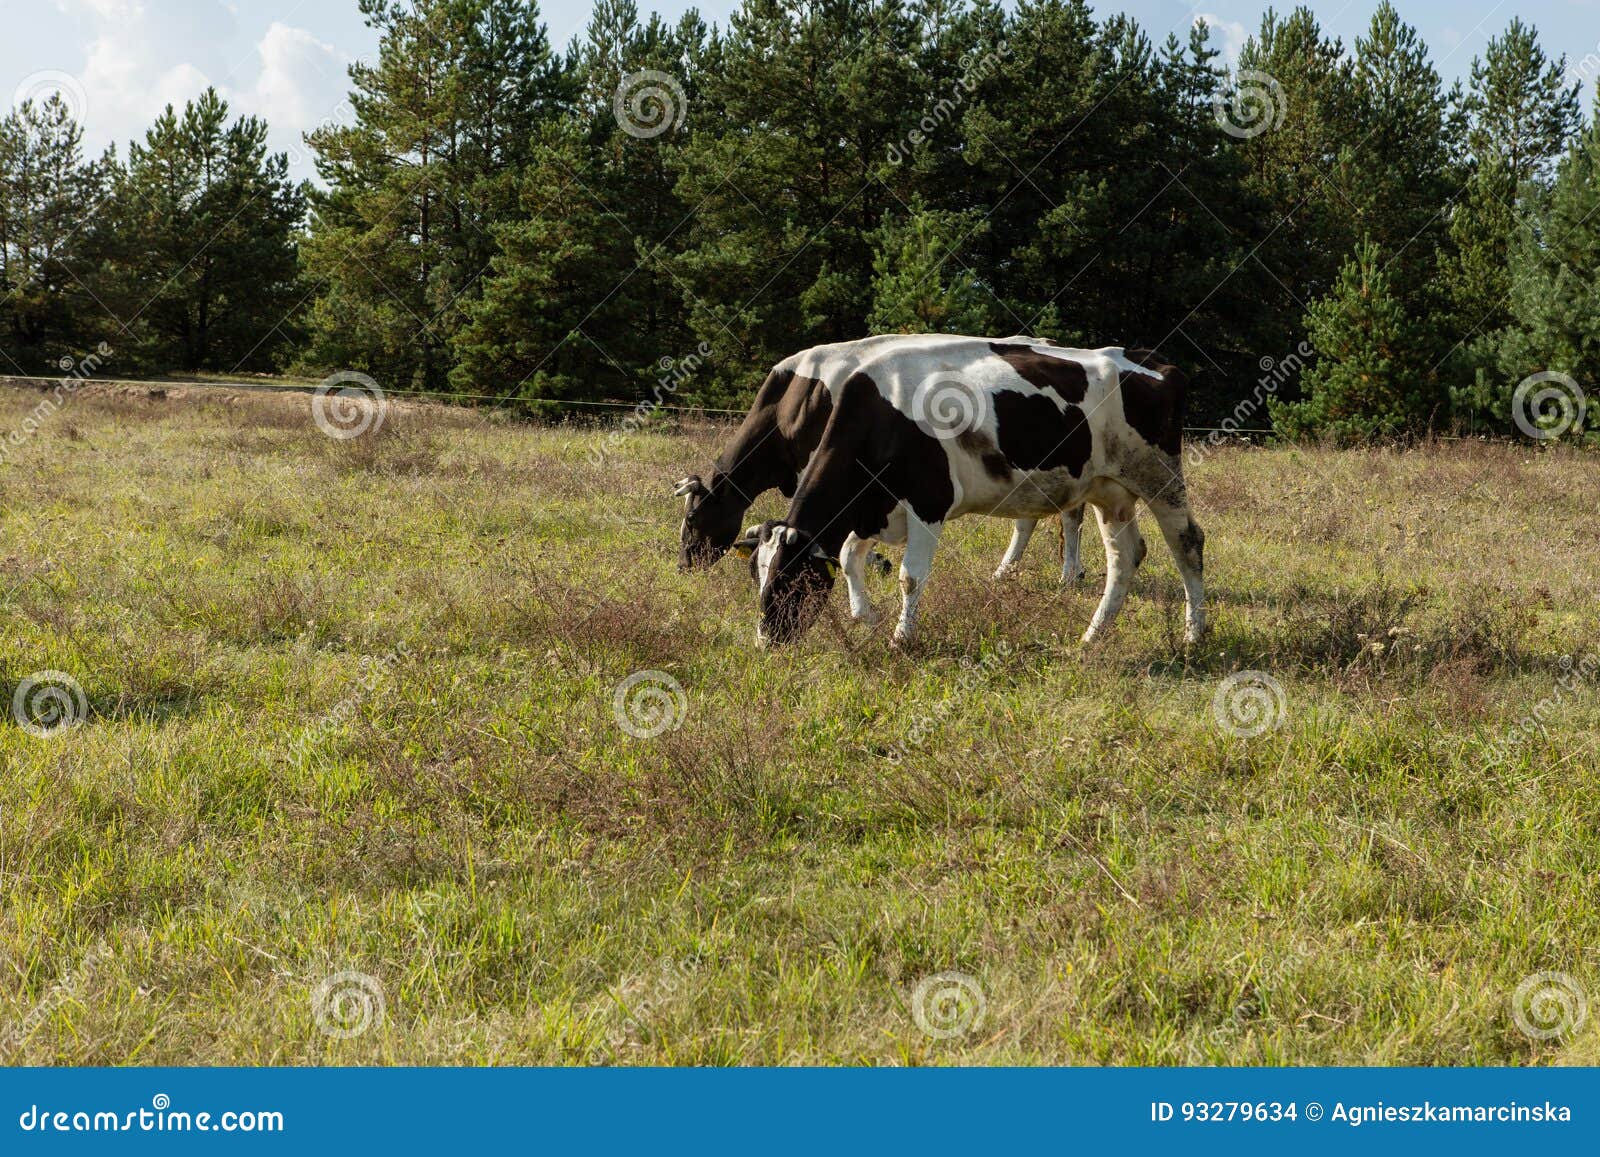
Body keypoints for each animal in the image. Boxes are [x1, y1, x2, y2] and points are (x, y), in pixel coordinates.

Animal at [728, 335, 1203, 649]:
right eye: (756, 575)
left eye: (789, 580)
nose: (765, 642)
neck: (880, 415)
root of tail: (1149, 361)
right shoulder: (874, 508)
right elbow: (847, 558)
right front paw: (868, 617)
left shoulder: (928, 502)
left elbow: (910, 576)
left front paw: (902, 639)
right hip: (1111, 491)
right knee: (1124, 557)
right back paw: (1092, 638)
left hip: (1159, 477)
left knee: (1187, 544)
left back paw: (1193, 635)